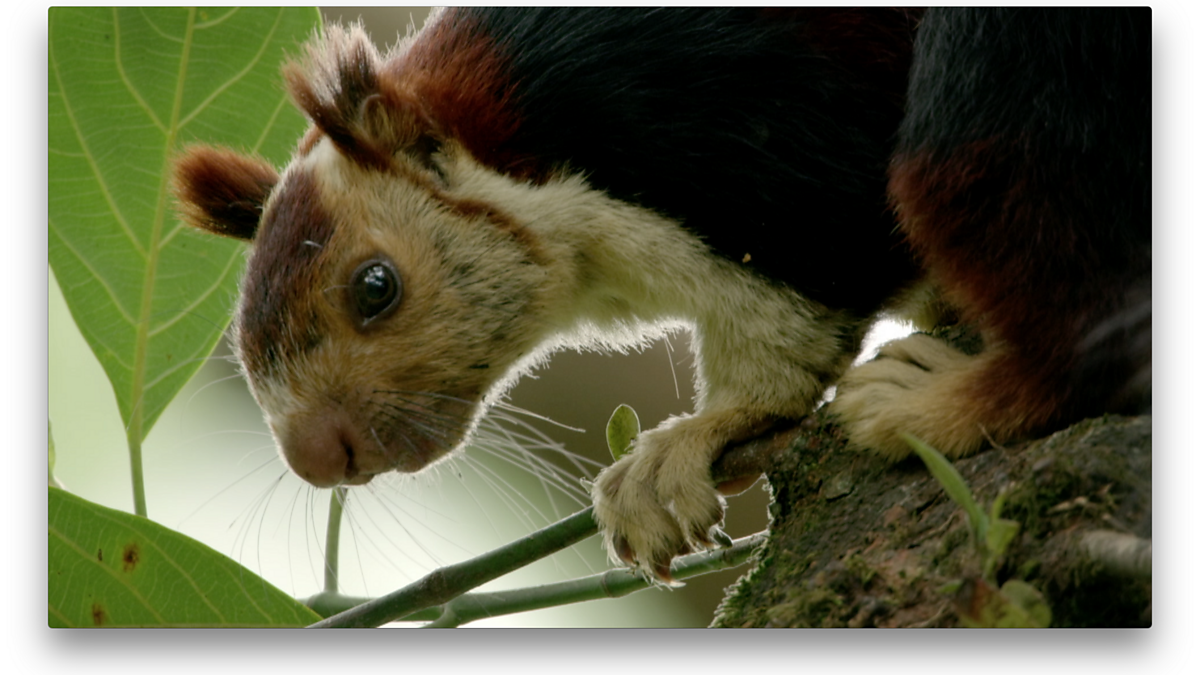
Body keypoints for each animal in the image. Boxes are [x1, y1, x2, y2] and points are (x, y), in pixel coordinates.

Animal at [173, 8, 1150, 584]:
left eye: (375, 286)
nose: (316, 454)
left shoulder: (731, 136)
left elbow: (804, 304)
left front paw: (683, 447)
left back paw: (945, 400)